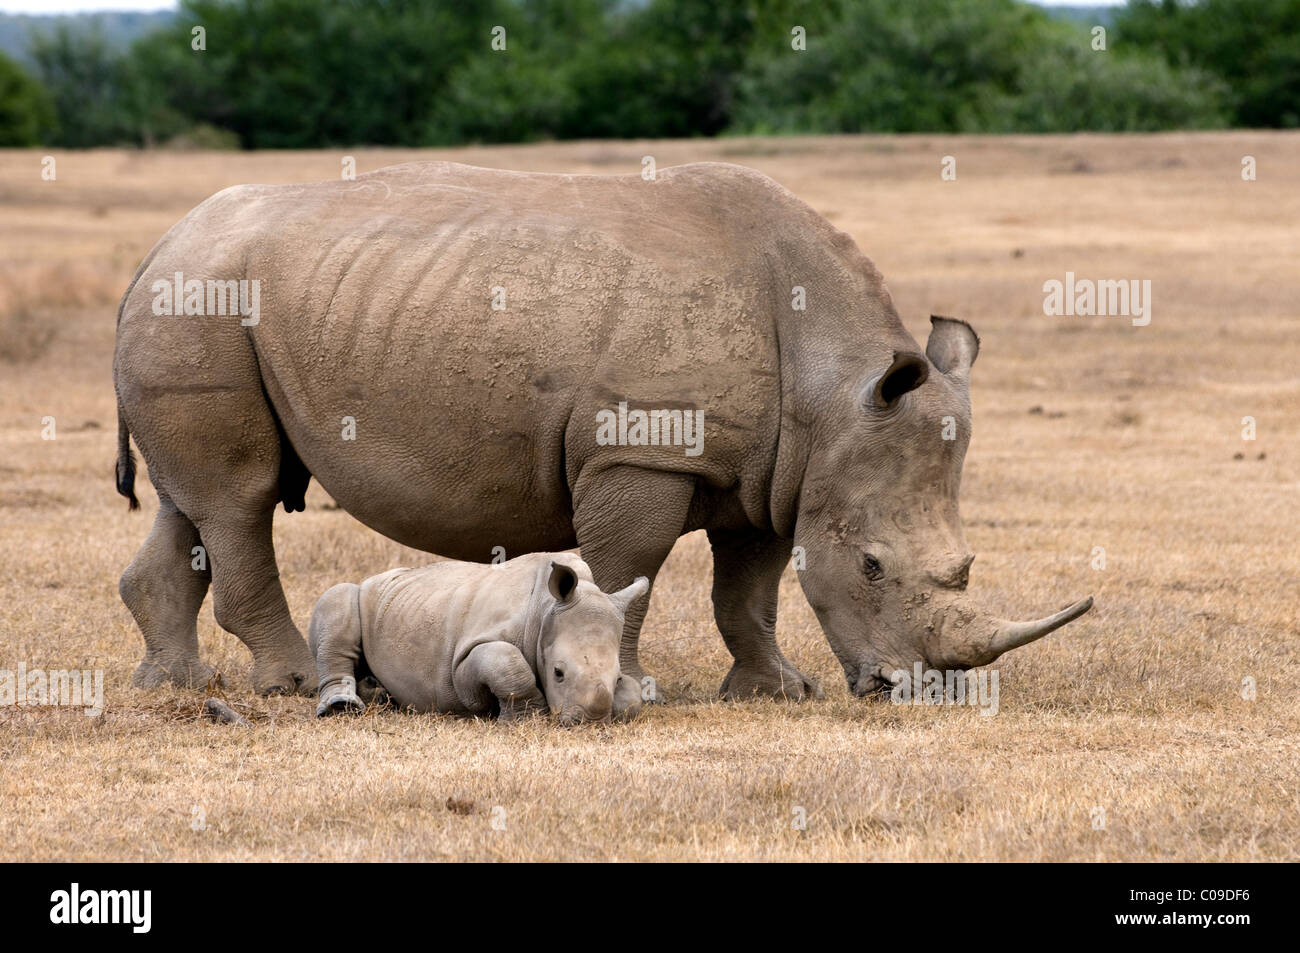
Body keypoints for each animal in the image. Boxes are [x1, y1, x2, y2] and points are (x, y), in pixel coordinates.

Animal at [113, 160, 1091, 700]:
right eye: (875, 566)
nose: (917, 691)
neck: (832, 384)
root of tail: (155, 248)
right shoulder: (640, 448)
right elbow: (632, 574)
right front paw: (625, 686)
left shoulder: (773, 471)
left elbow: (749, 589)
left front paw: (777, 689)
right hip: (200, 302)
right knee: (239, 499)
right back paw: (285, 685)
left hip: (199, 303)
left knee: (189, 505)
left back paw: (174, 684)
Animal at [309, 553, 647, 724]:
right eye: (558, 673)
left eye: (617, 677)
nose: (588, 722)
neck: (546, 608)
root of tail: (374, 579)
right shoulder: (464, 658)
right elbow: (508, 666)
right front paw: (526, 718)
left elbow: (634, 698)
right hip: (360, 593)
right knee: (339, 598)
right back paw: (342, 708)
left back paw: (379, 695)